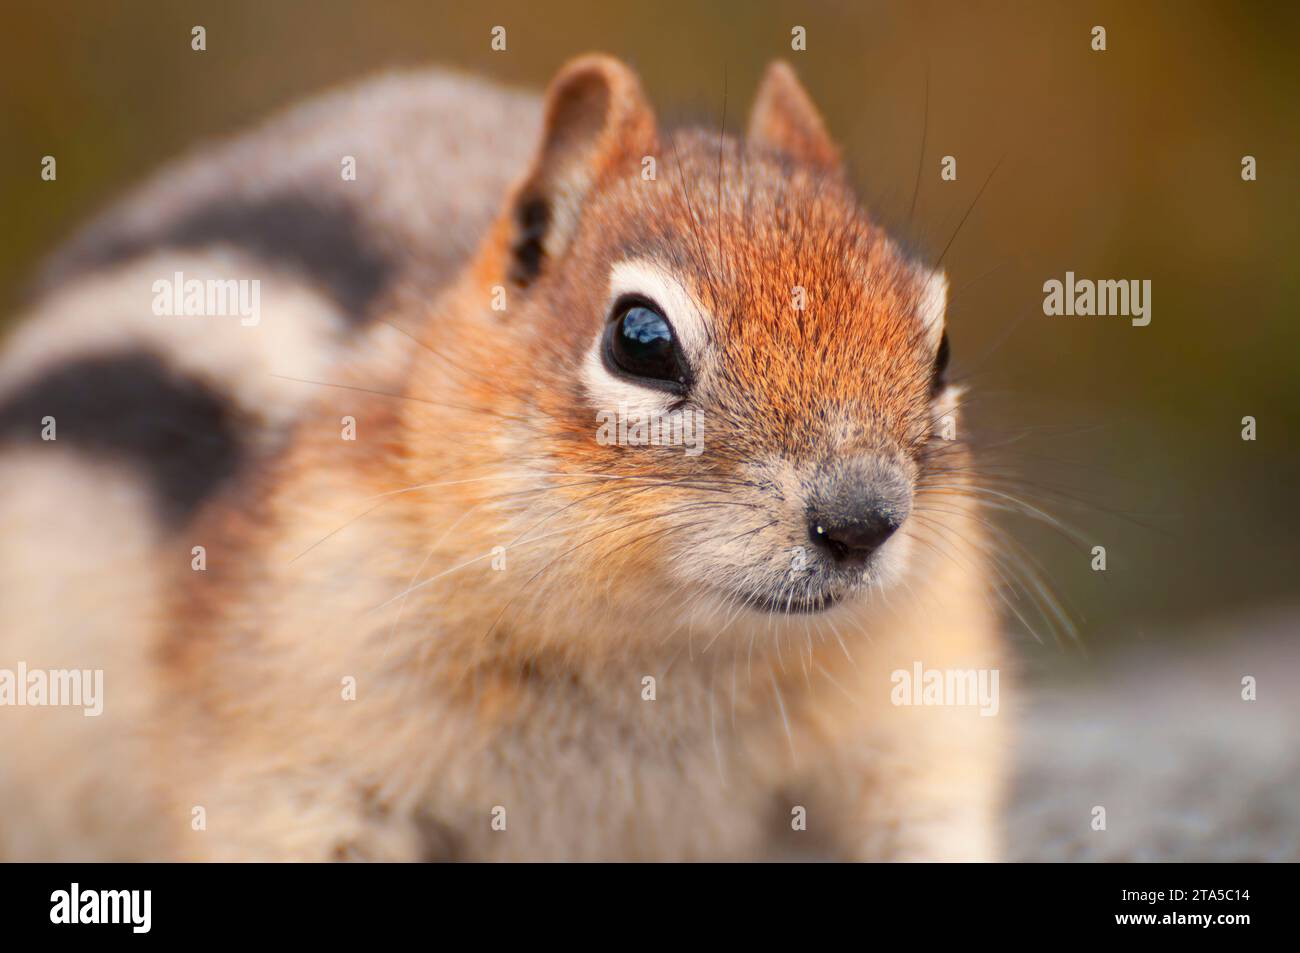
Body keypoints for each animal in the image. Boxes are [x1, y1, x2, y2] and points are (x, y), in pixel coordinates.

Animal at [0, 55, 1004, 861]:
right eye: (640, 339)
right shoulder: (293, 760)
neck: (664, 657)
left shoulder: (916, 733)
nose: (863, 520)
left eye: (942, 345)